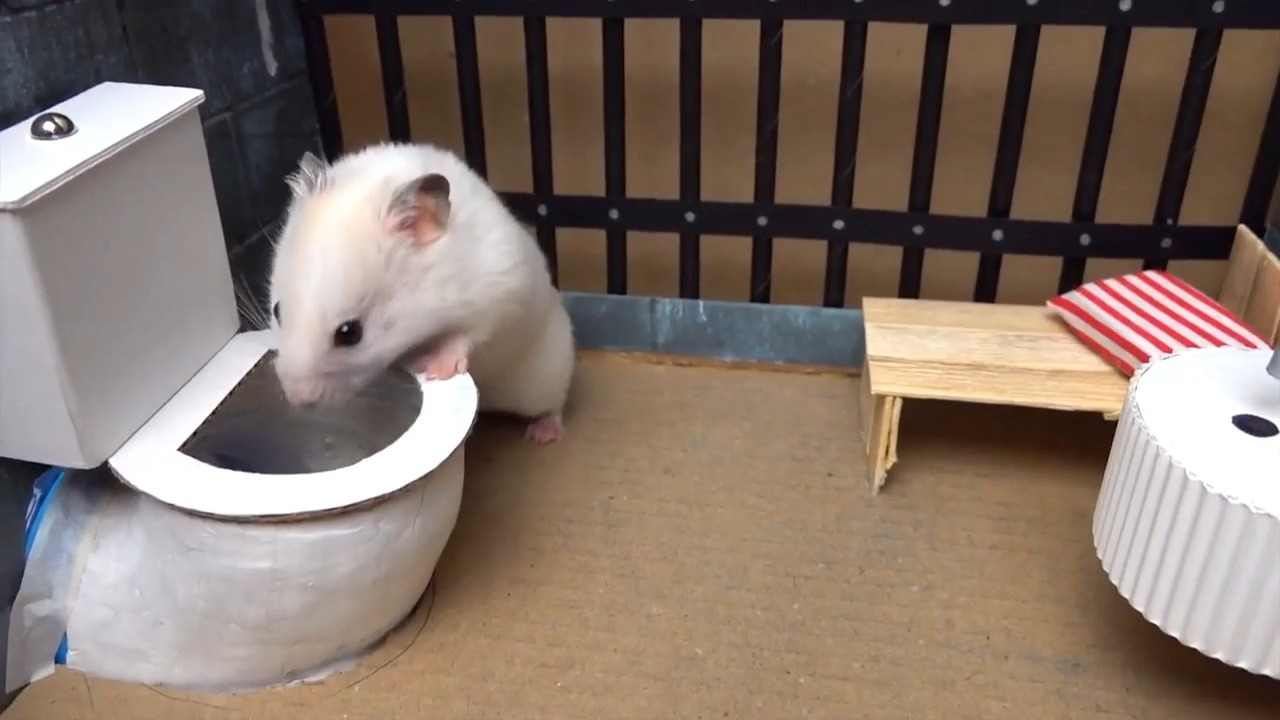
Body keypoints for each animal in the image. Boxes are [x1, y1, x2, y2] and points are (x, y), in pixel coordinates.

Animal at [266, 142, 575, 444]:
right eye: (277, 311)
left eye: (349, 333)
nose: (297, 399)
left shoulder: (501, 292)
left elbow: (467, 335)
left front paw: (433, 369)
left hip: (547, 374)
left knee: (555, 404)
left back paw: (543, 434)